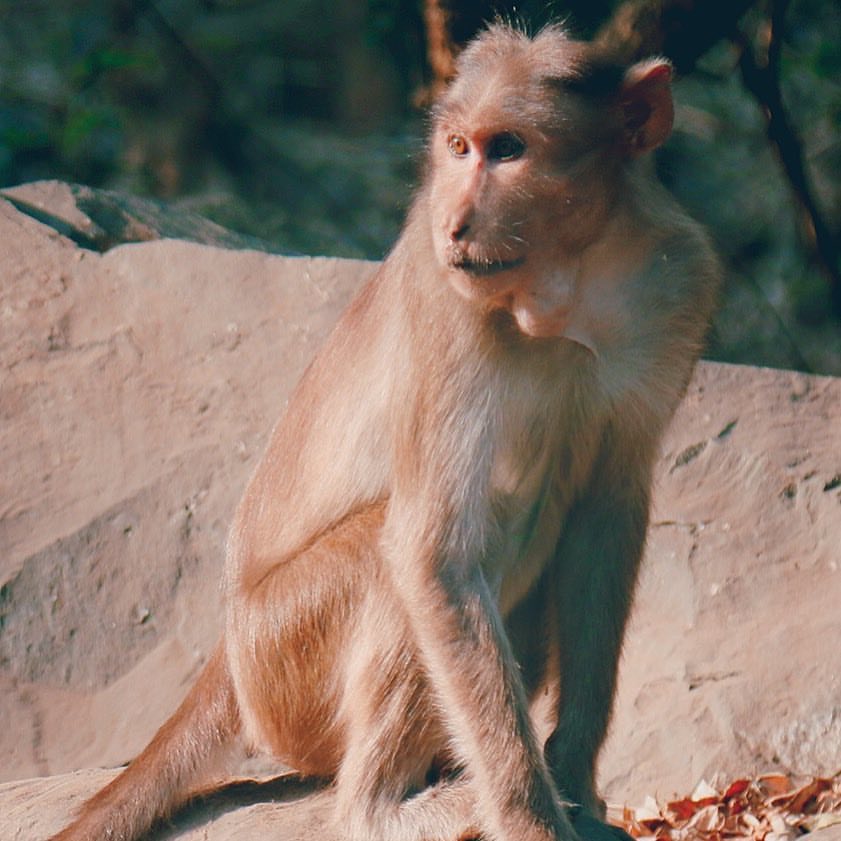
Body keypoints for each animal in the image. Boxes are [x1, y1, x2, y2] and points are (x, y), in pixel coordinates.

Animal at [48, 22, 719, 841]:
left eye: (508, 148)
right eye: (458, 147)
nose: (455, 221)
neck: (566, 283)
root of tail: (227, 659)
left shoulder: (677, 289)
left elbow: (604, 519)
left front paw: (574, 779)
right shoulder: (445, 298)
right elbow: (430, 555)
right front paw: (532, 817)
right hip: (281, 659)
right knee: (419, 539)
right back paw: (385, 807)